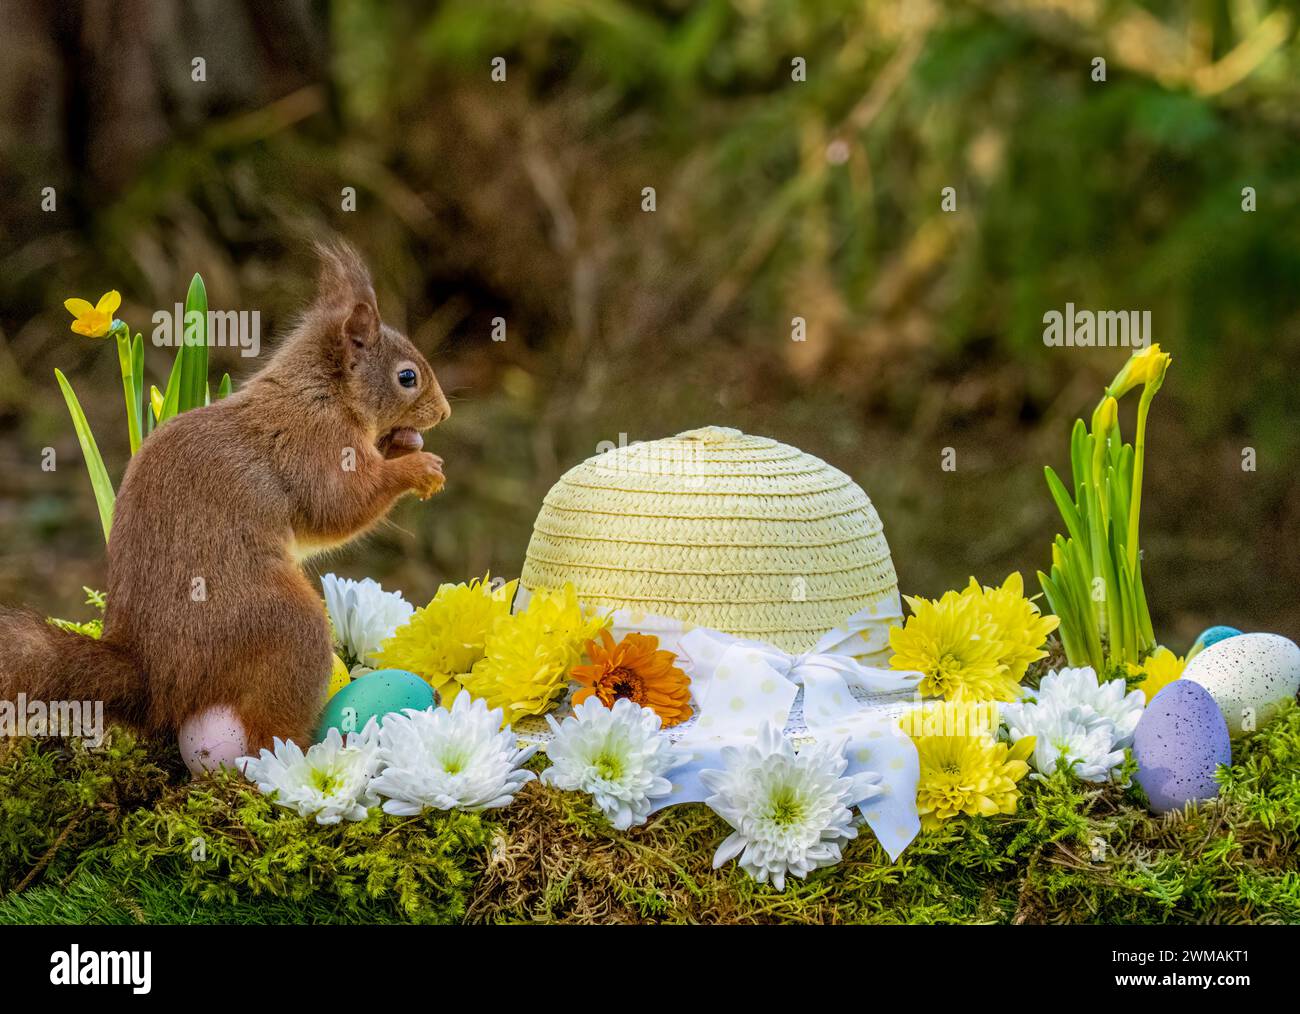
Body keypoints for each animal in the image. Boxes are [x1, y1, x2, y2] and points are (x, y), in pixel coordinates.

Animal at [0, 241, 450, 751]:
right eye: (407, 377)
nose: (444, 411)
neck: (321, 393)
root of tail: (155, 682)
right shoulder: (317, 447)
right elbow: (339, 508)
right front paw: (419, 467)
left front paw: (402, 445)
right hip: (286, 628)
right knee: (267, 733)